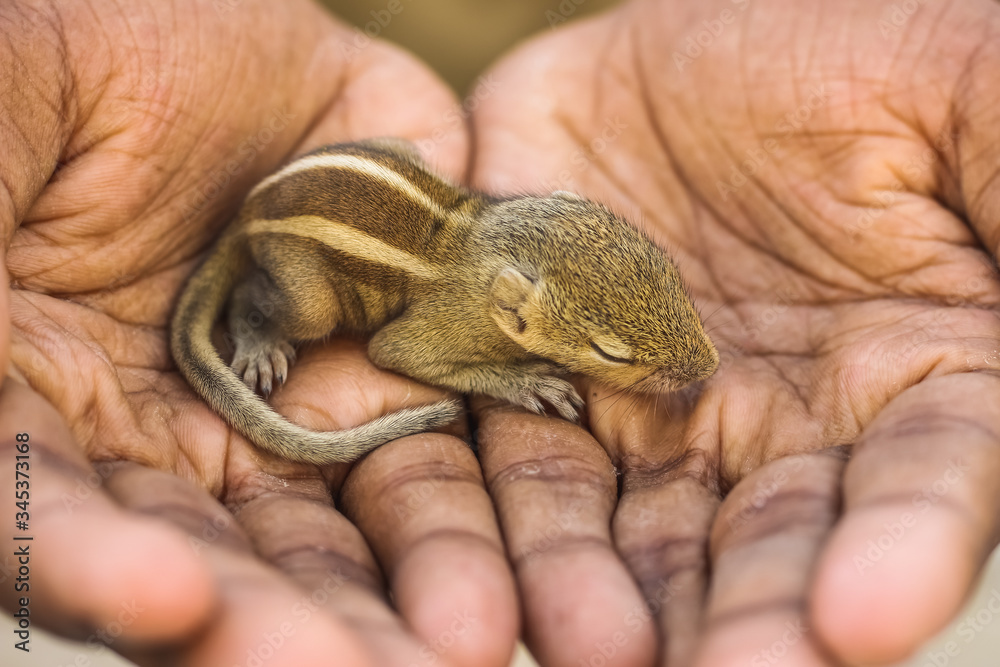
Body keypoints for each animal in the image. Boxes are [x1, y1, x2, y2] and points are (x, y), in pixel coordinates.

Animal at [170, 138, 719, 465]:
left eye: (669, 273)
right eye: (610, 353)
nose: (710, 367)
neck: (476, 245)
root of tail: (247, 208)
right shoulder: (438, 328)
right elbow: (393, 352)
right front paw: (528, 382)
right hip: (311, 299)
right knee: (251, 294)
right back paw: (260, 343)